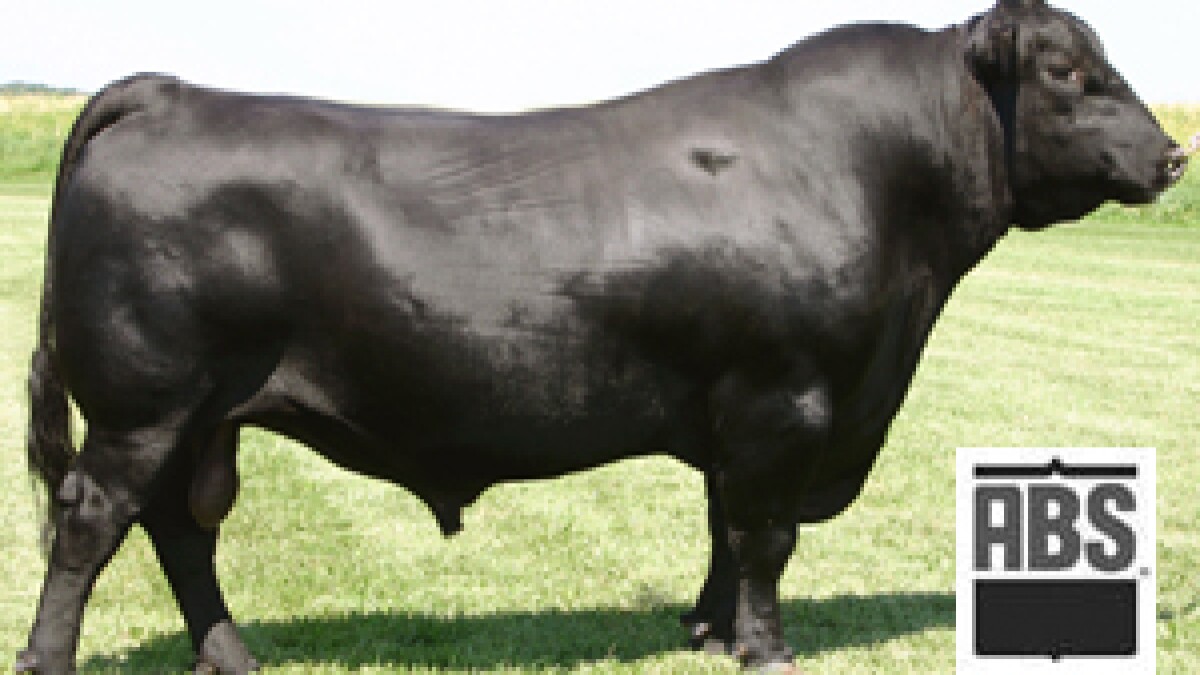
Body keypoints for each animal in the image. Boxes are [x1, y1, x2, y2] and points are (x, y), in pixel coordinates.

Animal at [17, 1, 1187, 672]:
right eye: (1070, 74)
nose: (1175, 155)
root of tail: (168, 93)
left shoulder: (741, 411)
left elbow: (724, 529)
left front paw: (706, 631)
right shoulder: (786, 397)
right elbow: (765, 536)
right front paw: (765, 650)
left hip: (201, 416)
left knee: (182, 529)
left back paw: (232, 655)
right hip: (143, 405)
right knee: (90, 521)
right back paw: (49, 656)